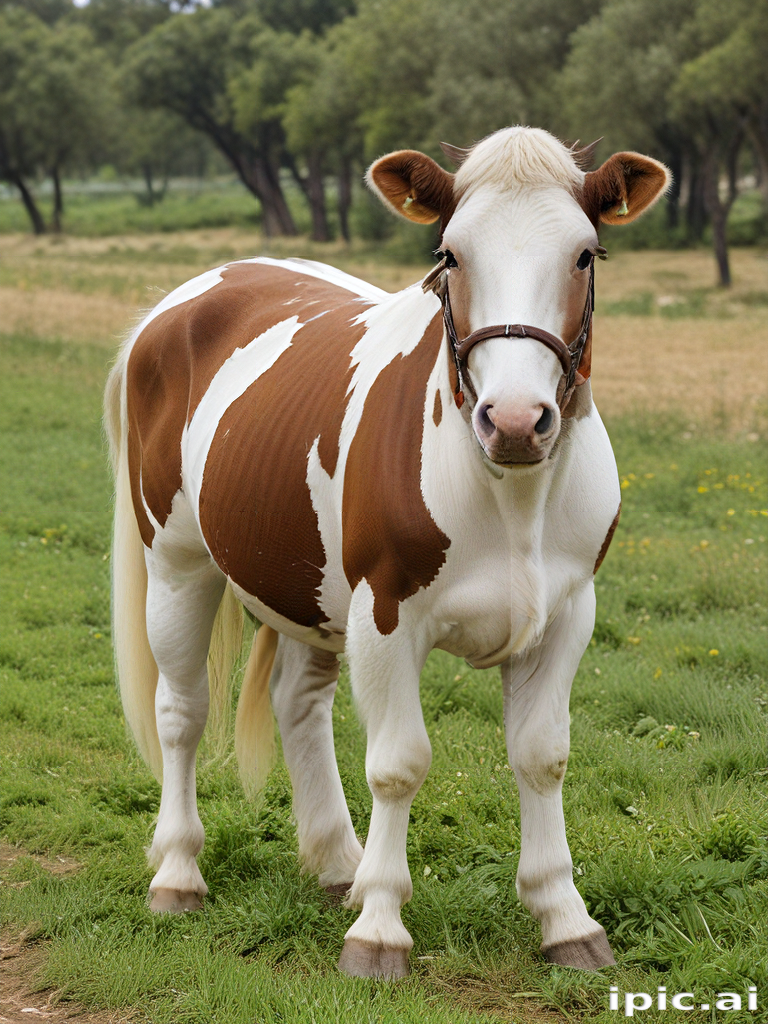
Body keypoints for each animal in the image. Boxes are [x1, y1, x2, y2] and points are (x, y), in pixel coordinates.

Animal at [105, 126, 670, 977]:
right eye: (450, 254)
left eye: (585, 254)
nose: (514, 418)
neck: (509, 498)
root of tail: (197, 290)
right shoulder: (384, 611)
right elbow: (398, 762)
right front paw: (378, 928)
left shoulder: (569, 614)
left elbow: (542, 756)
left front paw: (564, 917)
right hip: (176, 561)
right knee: (182, 711)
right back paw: (178, 871)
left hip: (304, 585)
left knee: (298, 704)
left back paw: (338, 861)